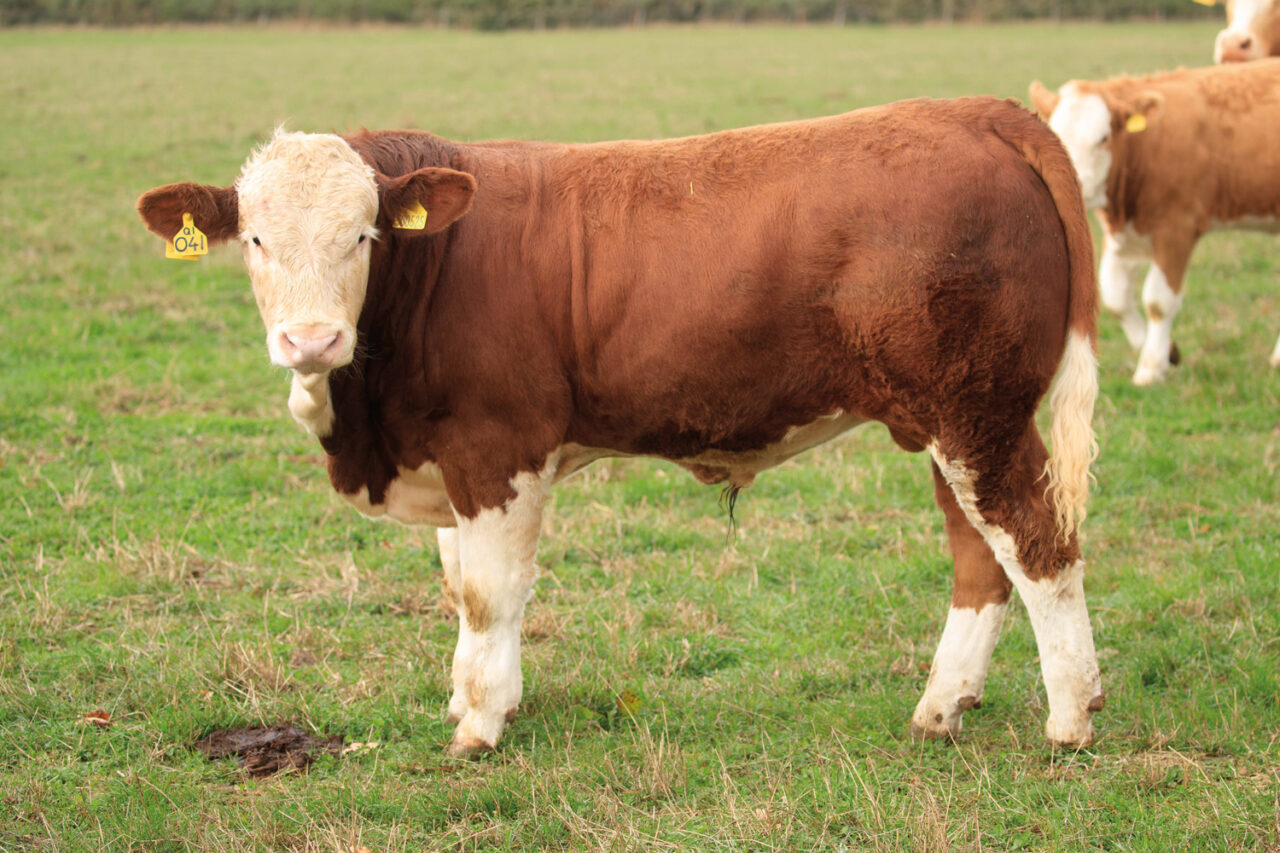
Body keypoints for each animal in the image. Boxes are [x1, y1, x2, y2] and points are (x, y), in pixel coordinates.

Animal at [137, 97, 1105, 757]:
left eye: (365, 234)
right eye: (254, 239)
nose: (310, 339)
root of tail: (972, 111)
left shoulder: (499, 447)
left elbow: (488, 593)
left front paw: (478, 723)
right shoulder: (448, 461)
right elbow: (457, 587)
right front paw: (469, 698)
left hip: (977, 416)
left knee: (1038, 544)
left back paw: (1071, 716)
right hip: (950, 419)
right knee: (980, 556)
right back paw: (942, 708)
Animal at [1030, 61, 1280, 385]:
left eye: (1104, 138)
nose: (1073, 188)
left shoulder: (1177, 231)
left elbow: (1159, 302)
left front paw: (1151, 367)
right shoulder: (1124, 235)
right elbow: (1115, 297)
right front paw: (1166, 351)